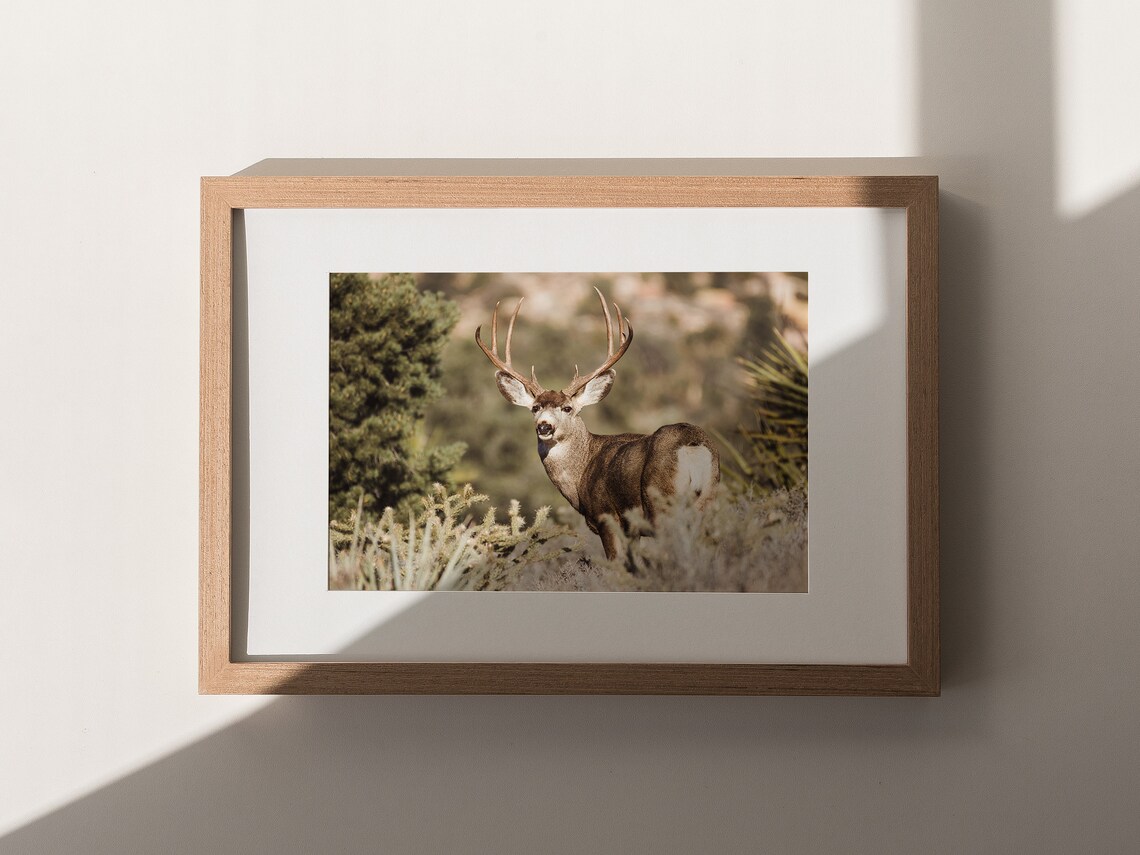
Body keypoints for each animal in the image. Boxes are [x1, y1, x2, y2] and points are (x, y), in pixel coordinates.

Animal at [475, 288, 720, 561]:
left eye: (567, 408)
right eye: (535, 408)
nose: (544, 426)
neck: (581, 470)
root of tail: (692, 446)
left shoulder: (606, 517)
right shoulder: (631, 529)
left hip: (662, 503)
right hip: (708, 500)